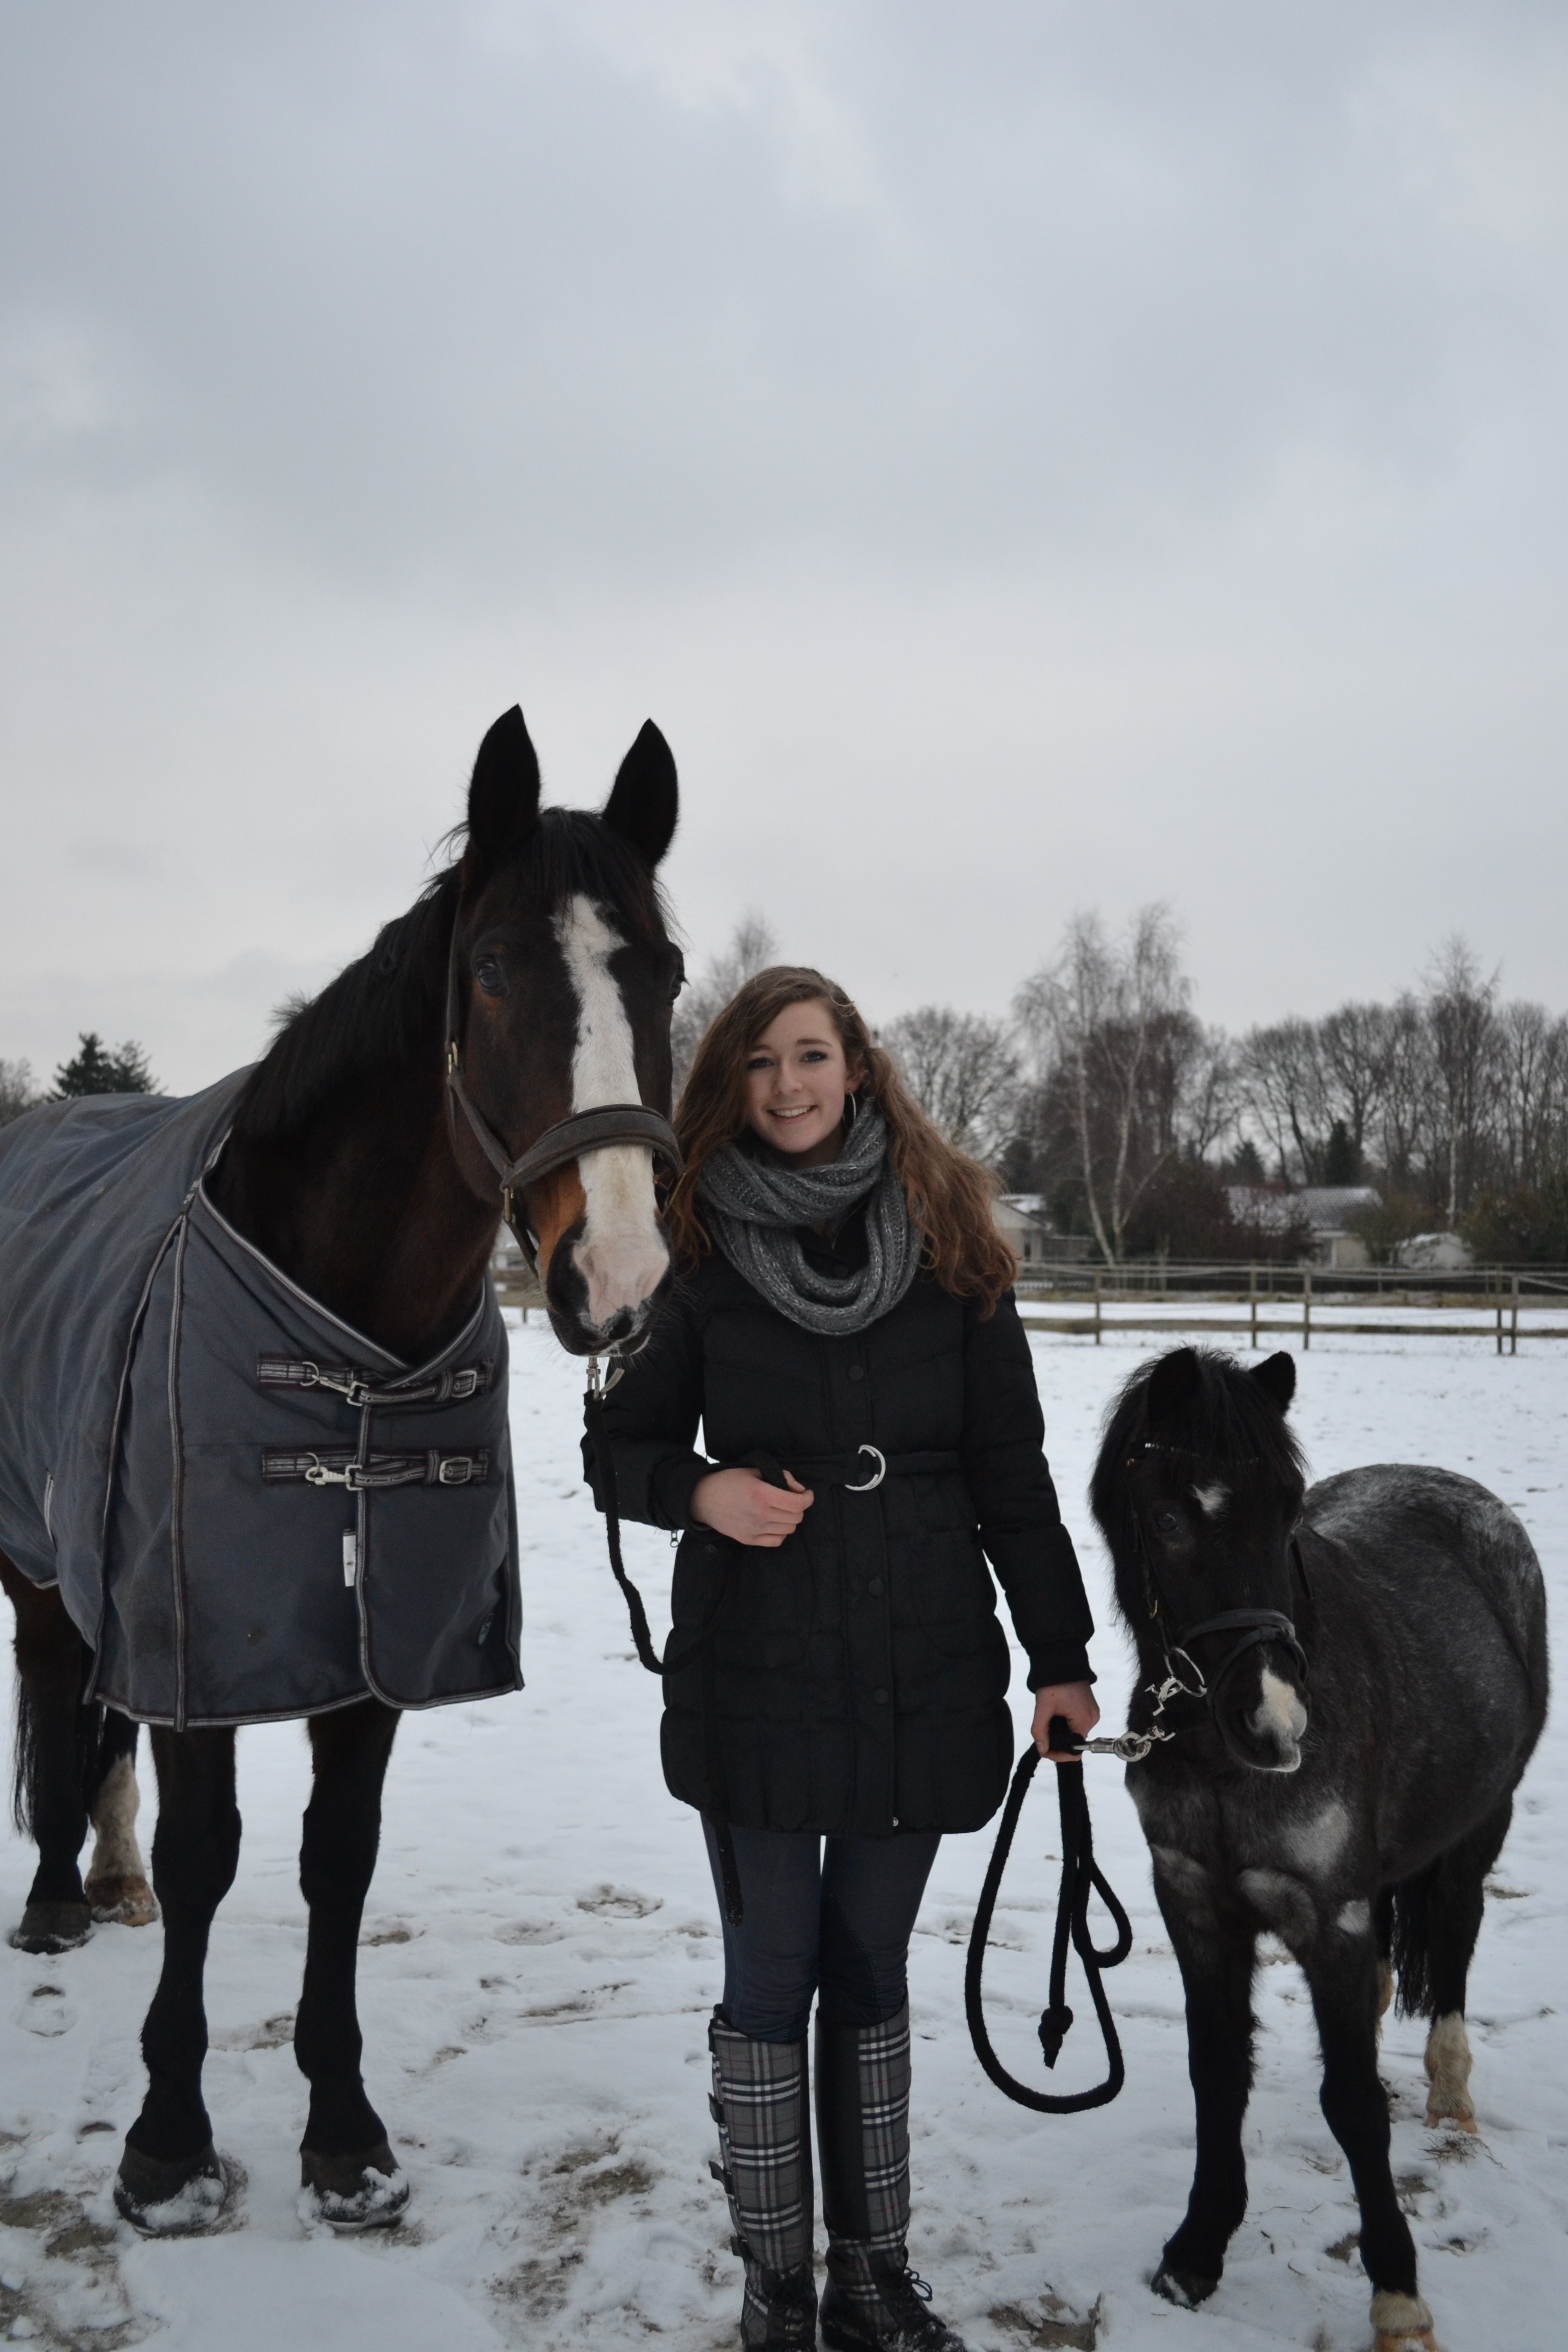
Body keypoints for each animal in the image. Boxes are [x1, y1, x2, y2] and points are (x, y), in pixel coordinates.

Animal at [0, 703, 684, 2234]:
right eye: (491, 971)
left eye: (663, 976)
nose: (618, 1277)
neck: (346, 1328)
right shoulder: (199, 1635)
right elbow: (209, 1855)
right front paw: (169, 2145)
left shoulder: (373, 1646)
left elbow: (338, 1860)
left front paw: (345, 2134)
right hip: (31, 1550)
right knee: (54, 1681)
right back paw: (57, 1900)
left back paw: (101, 1882)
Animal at [1088, 1344, 1546, 2352]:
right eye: (1169, 1518)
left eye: (1289, 1506)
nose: (1278, 1726)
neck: (1219, 1757)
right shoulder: (1194, 1903)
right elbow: (1218, 2071)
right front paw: (1196, 2251)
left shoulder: (1329, 1915)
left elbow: (1355, 2105)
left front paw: (1398, 2296)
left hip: (1475, 1833)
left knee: (1453, 1950)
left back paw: (1450, 2099)